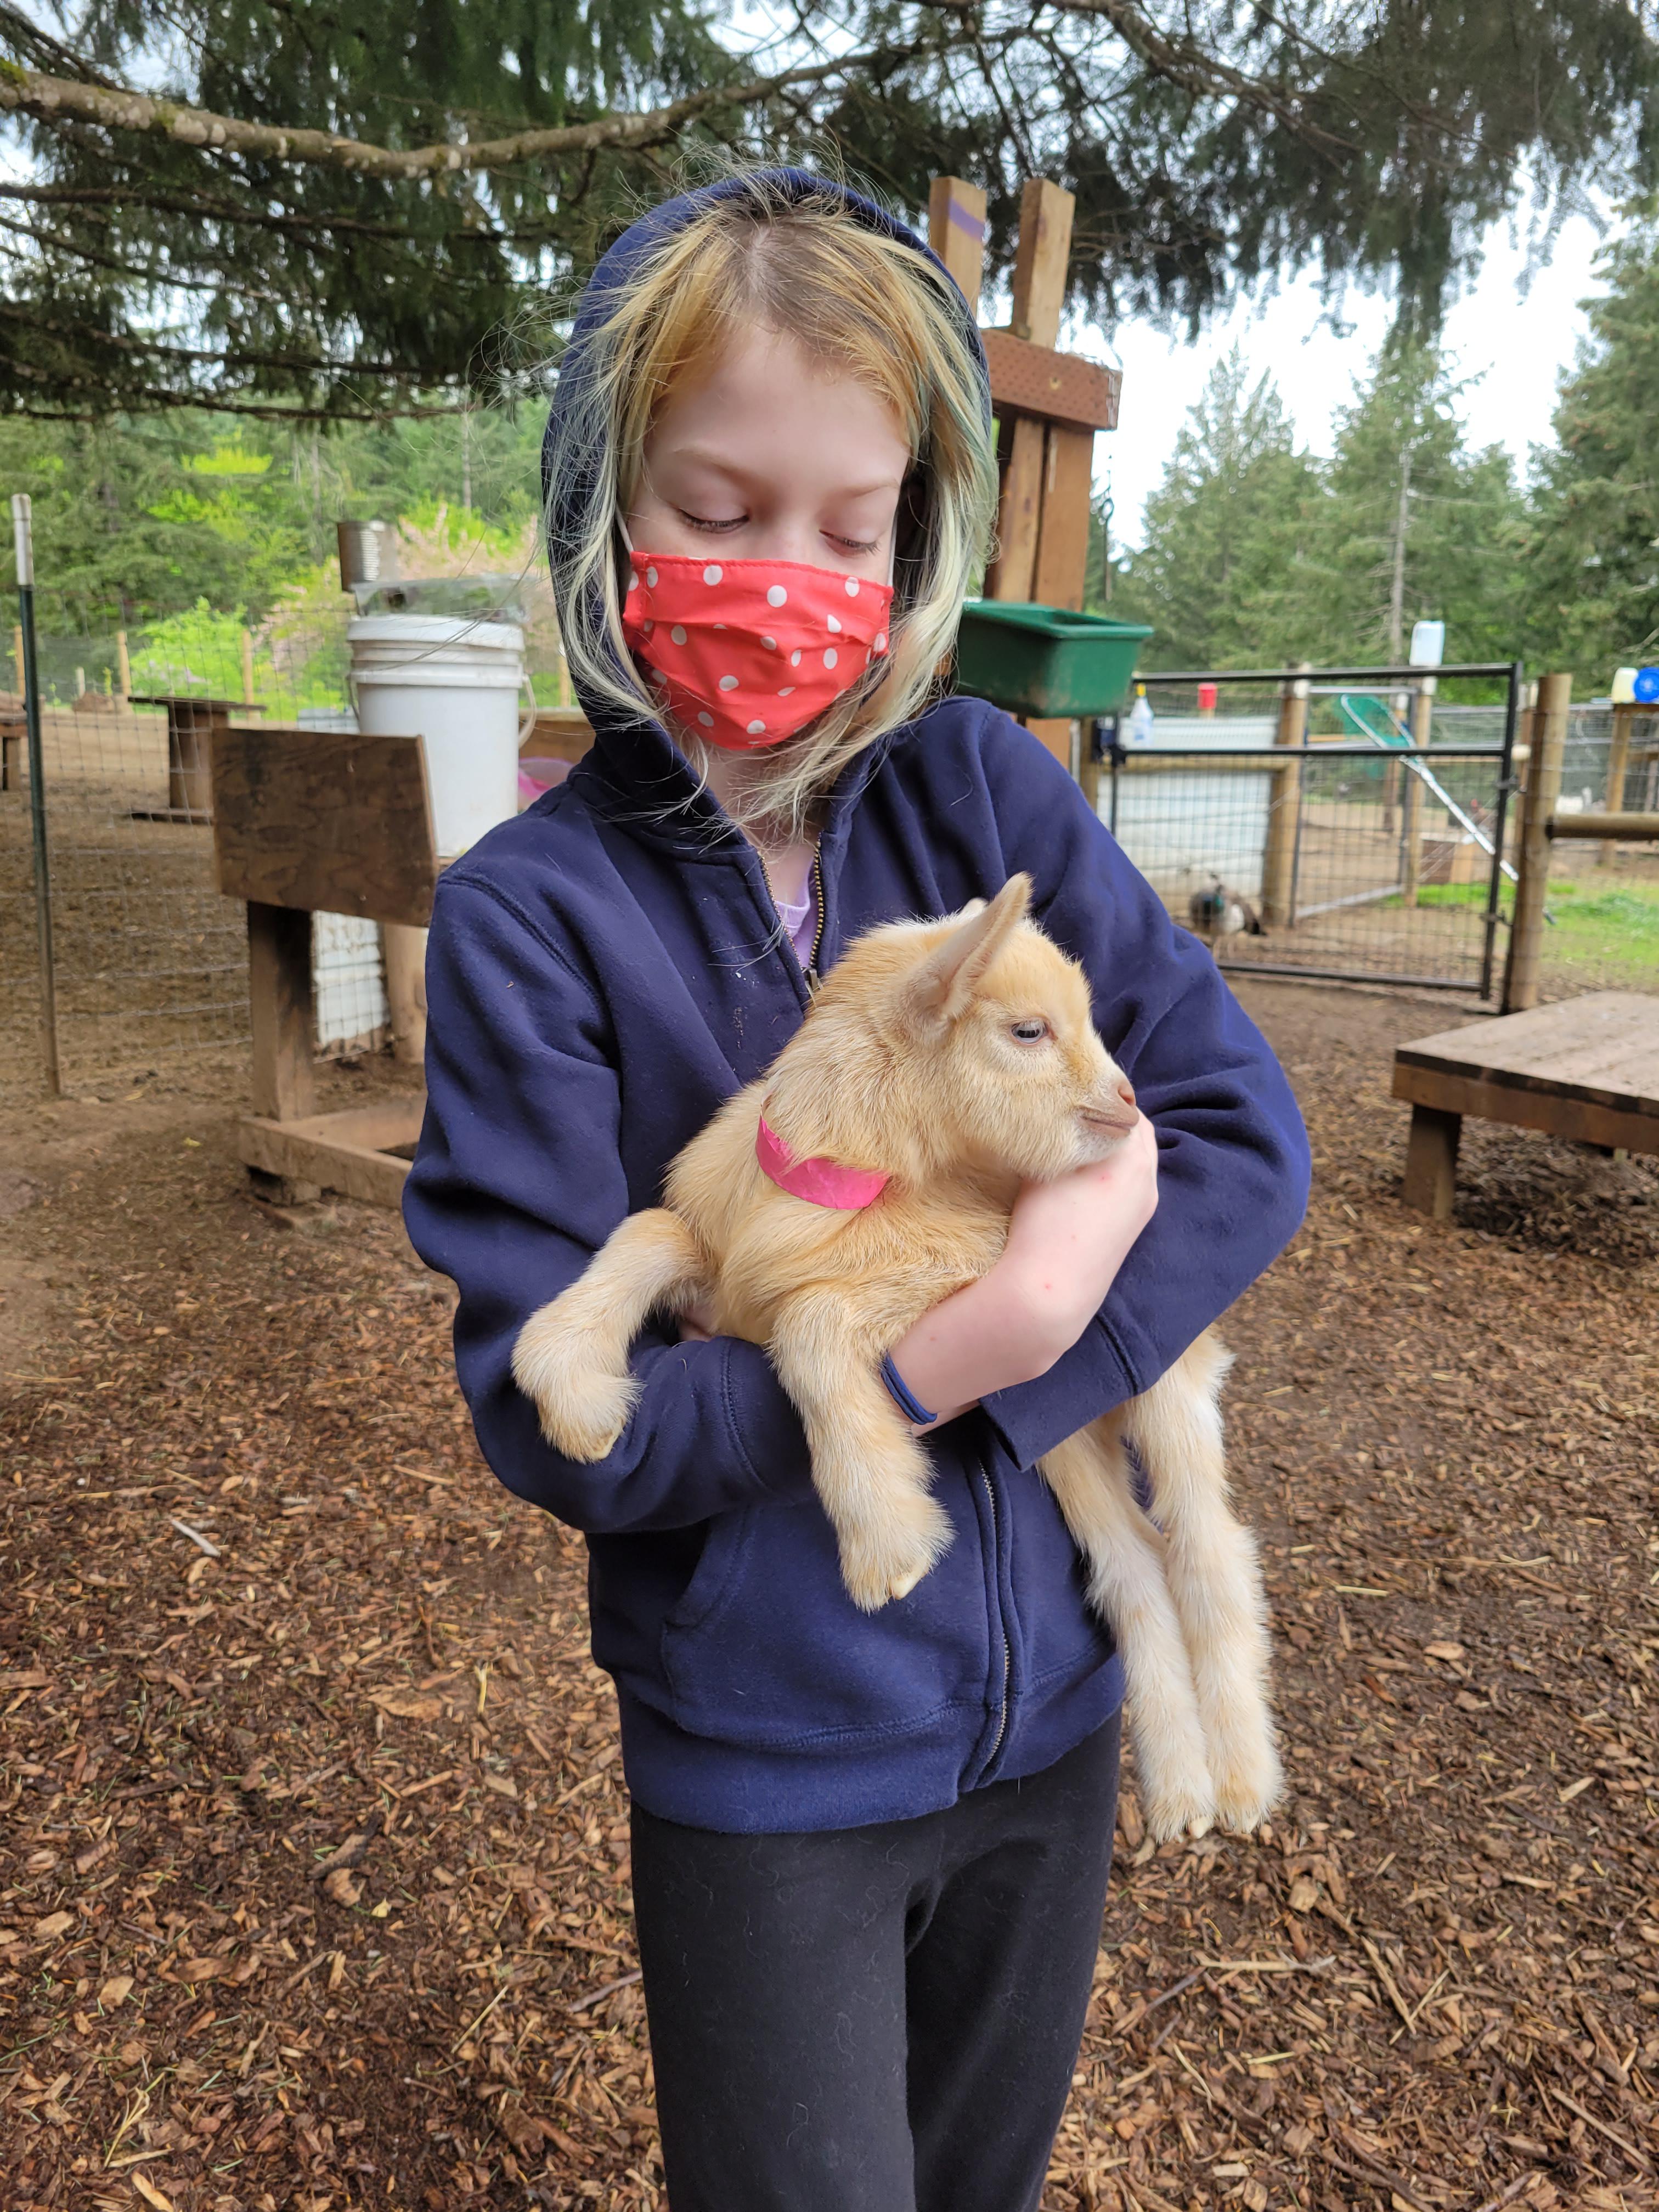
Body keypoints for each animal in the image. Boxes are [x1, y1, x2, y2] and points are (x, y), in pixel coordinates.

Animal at [513, 876, 1281, 1840]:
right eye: (1029, 1030)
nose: (1129, 1102)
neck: (852, 1179)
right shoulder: (728, 1254)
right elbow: (654, 1232)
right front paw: (572, 1391)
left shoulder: (979, 1271)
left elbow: (809, 1321)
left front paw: (887, 1543)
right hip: (1064, 1434)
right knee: (1133, 1562)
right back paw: (1180, 1788)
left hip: (1159, 1378)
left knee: (1210, 1548)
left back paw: (1241, 1782)